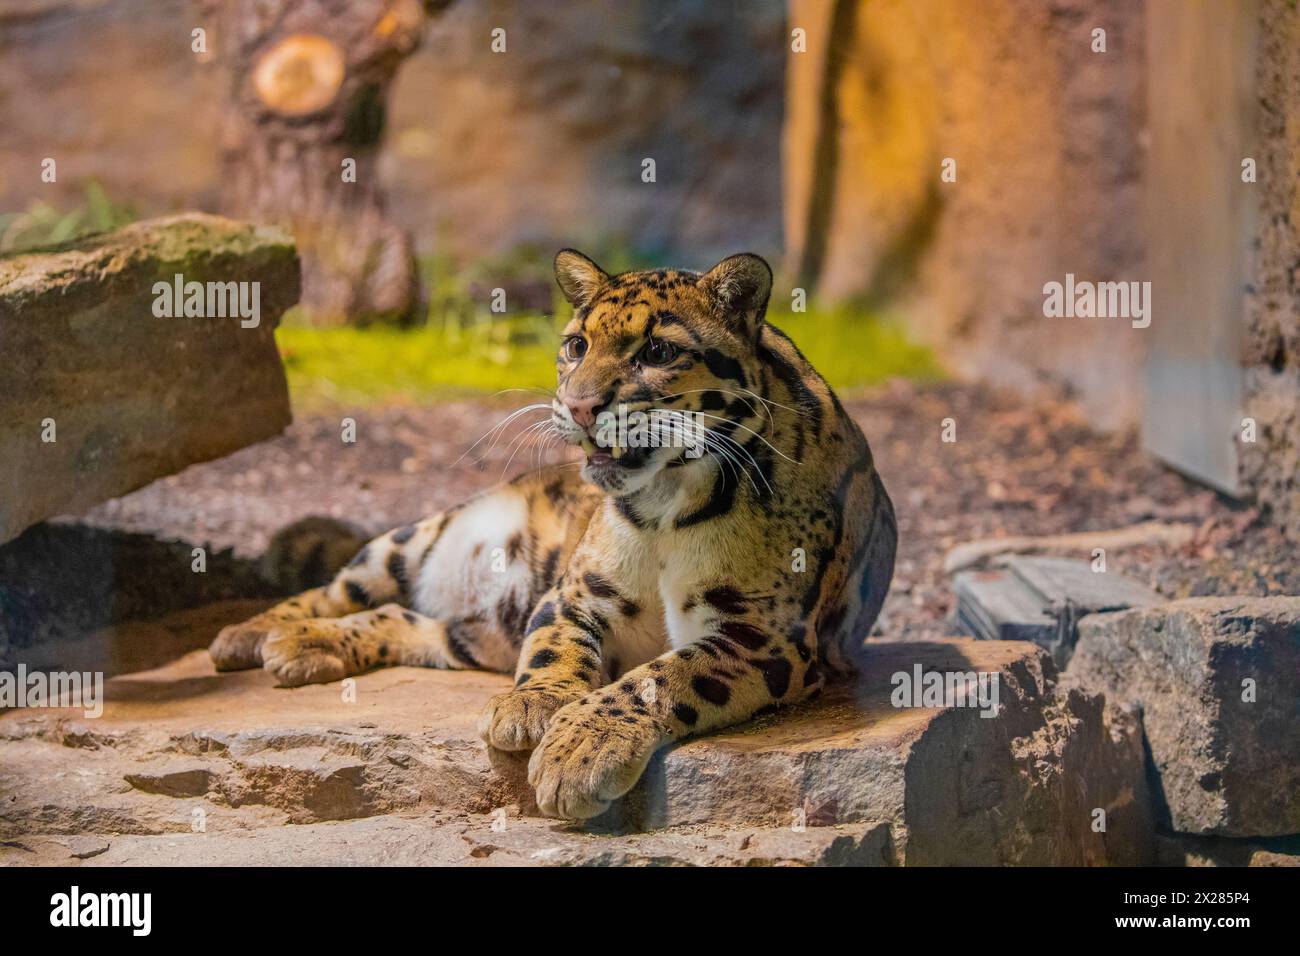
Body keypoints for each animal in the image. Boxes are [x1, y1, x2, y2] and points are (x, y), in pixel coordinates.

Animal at [208, 249, 897, 821]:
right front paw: (536, 704)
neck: (666, 504)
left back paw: (301, 646)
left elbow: (665, 677)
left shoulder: (767, 636)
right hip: (414, 540)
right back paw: (257, 636)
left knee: (406, 622)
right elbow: (554, 646)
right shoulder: (573, 594)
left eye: (658, 353)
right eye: (575, 344)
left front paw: (580, 749)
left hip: (473, 635)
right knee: (341, 589)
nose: (582, 406)